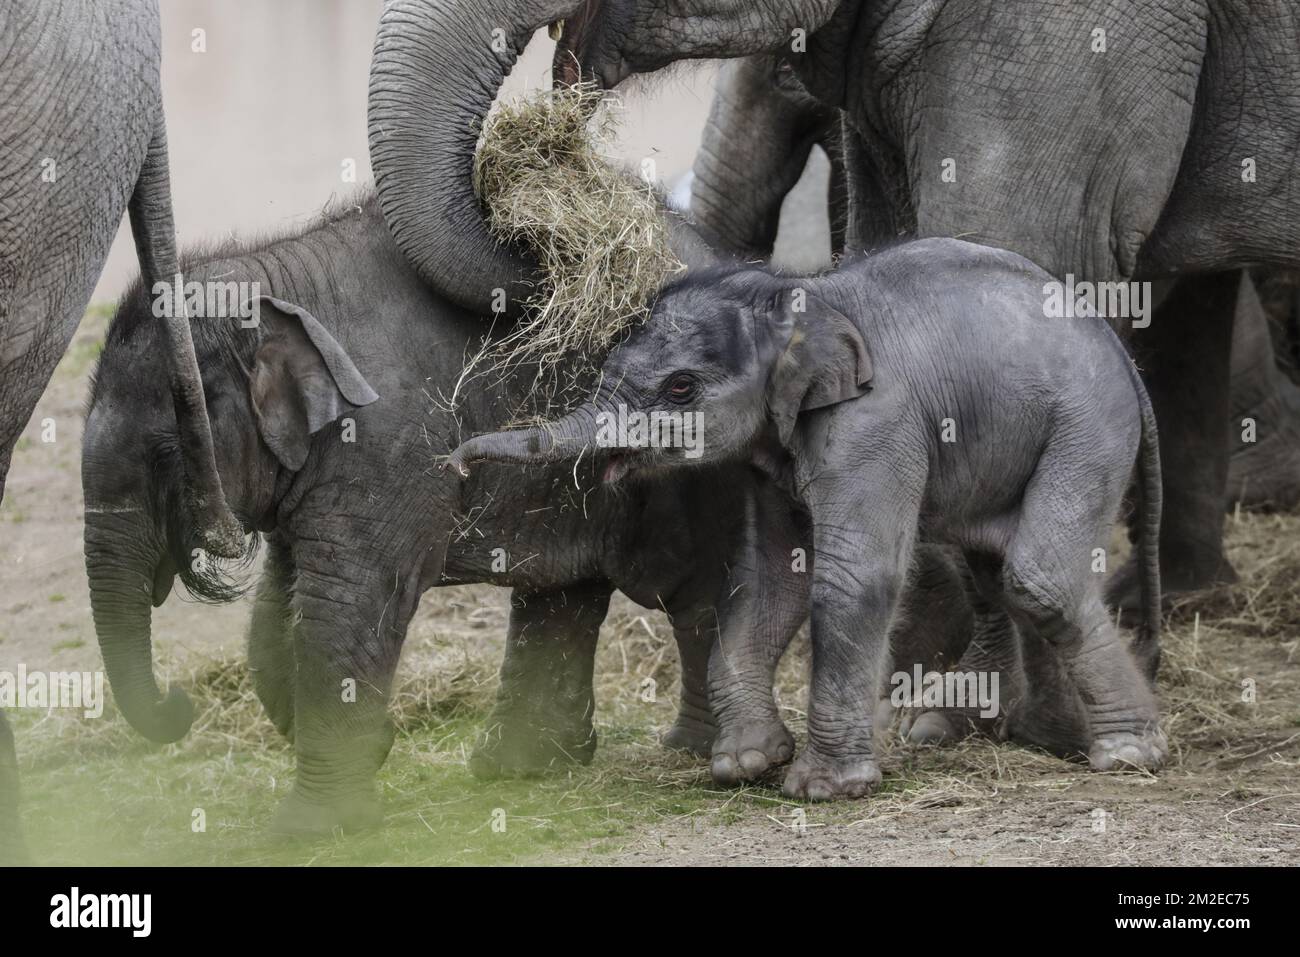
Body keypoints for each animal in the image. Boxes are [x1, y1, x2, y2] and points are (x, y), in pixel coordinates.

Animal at [447, 238, 1169, 798]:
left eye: (681, 387)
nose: (455, 464)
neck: (794, 296)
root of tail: (1126, 361)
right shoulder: (773, 452)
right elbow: (770, 579)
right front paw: (746, 763)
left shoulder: (872, 423)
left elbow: (853, 579)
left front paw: (823, 788)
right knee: (1000, 576)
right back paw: (1041, 737)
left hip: (1087, 427)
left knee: (1038, 579)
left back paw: (1125, 755)